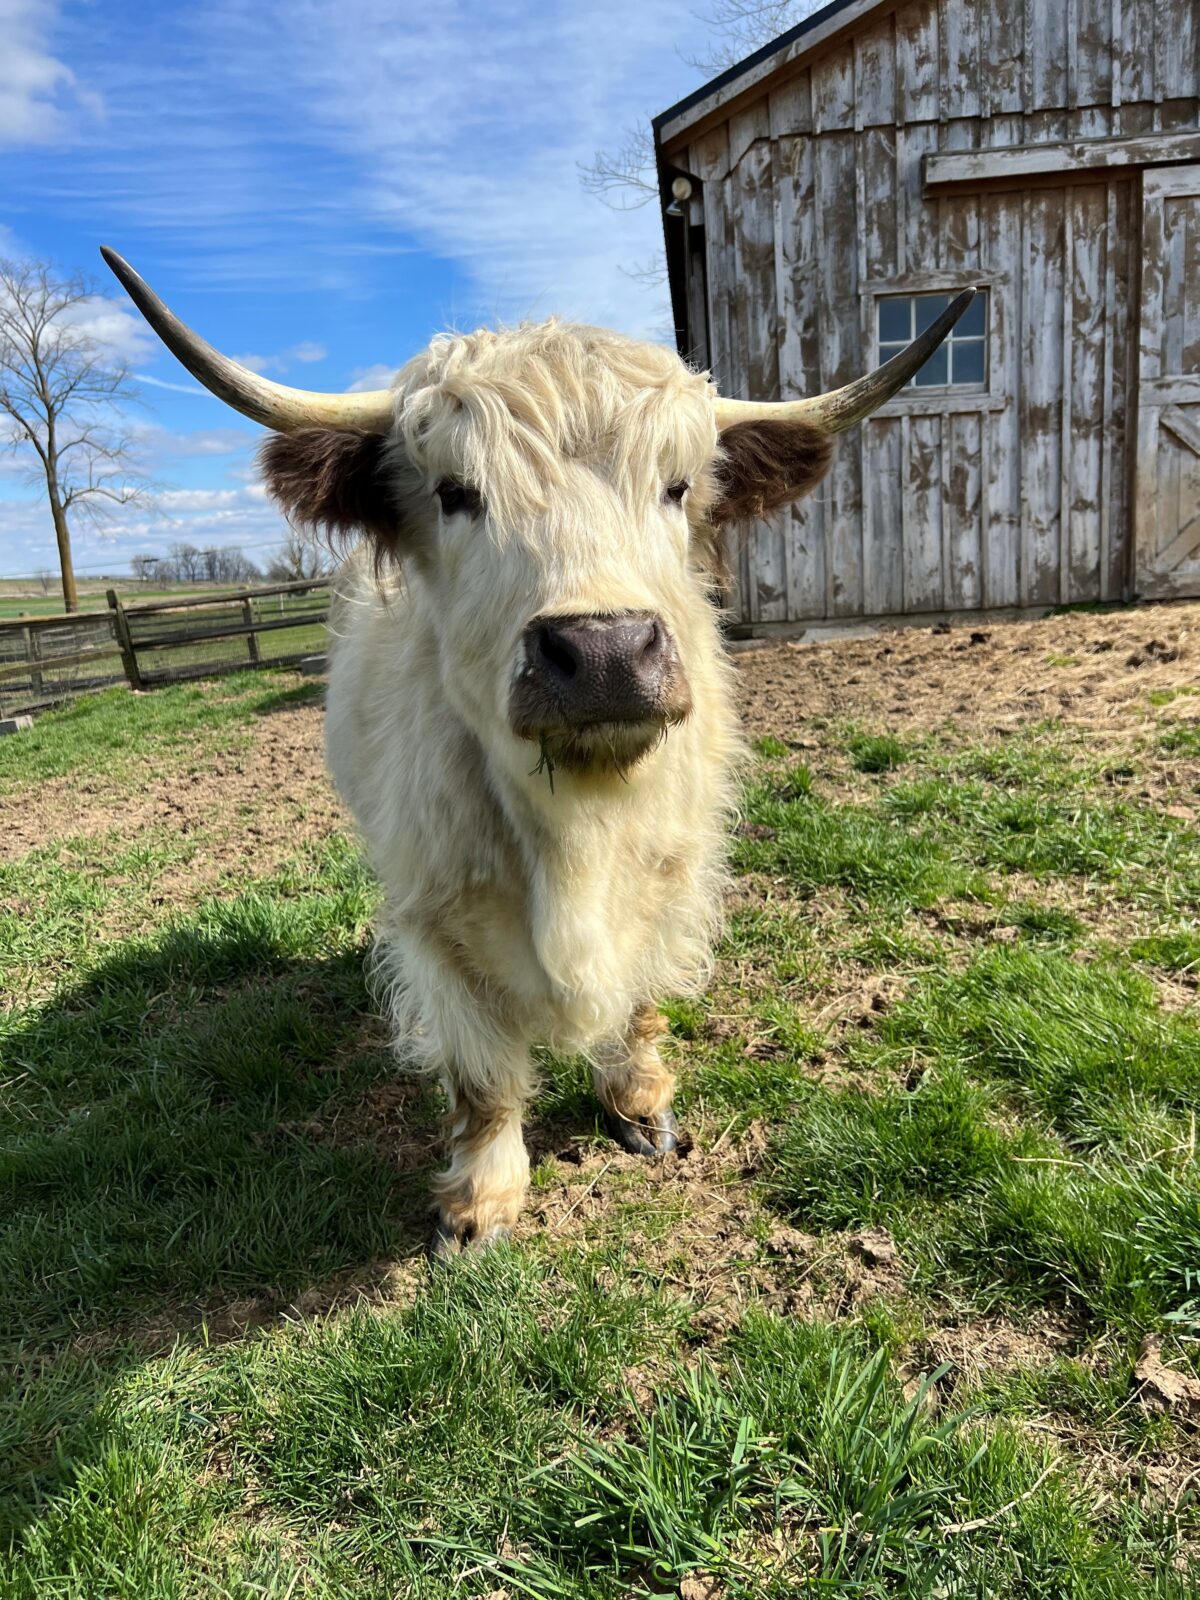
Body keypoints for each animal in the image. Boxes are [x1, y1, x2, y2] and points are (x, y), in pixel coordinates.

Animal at [102, 247, 972, 1255]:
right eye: (455, 493)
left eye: (677, 486)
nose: (604, 652)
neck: (578, 828)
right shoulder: (437, 919)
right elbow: (481, 1077)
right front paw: (482, 1201)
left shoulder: (677, 878)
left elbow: (641, 1003)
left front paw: (640, 1105)